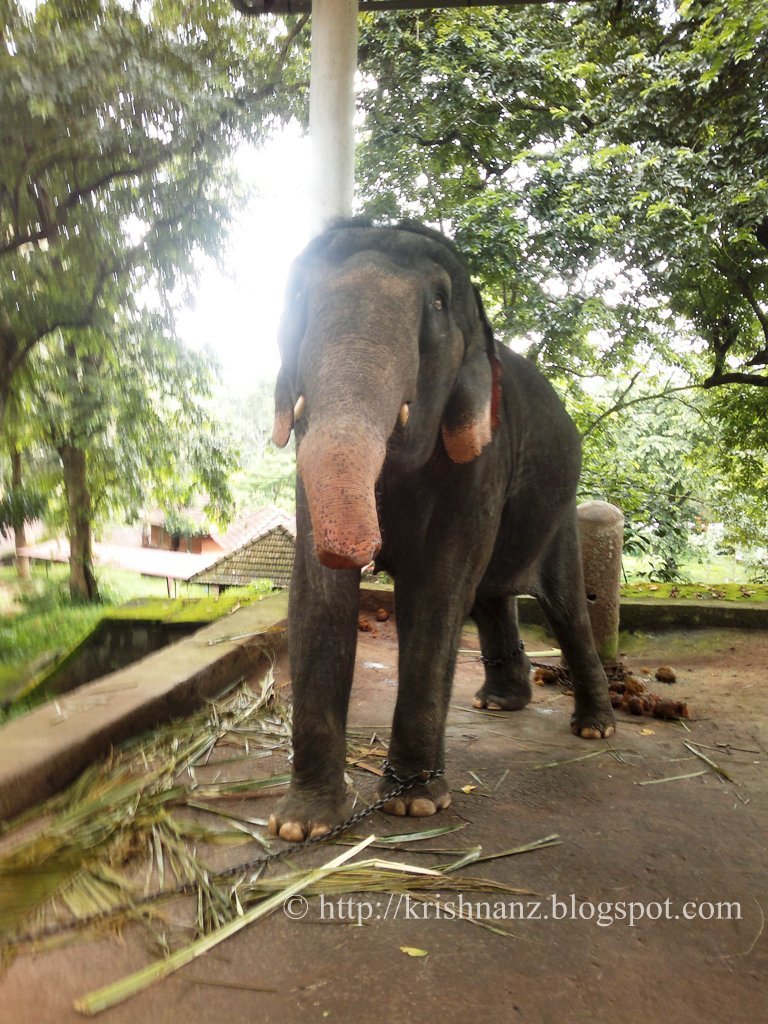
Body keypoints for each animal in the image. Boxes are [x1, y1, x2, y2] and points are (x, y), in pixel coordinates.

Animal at [268, 220, 616, 842]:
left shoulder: (484, 456)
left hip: (561, 514)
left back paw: (594, 729)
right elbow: (315, 592)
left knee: (566, 608)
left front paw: (415, 806)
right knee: (490, 596)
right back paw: (500, 704)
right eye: (301, 297)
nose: (371, 553)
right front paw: (303, 826)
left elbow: (437, 587)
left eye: (435, 303)